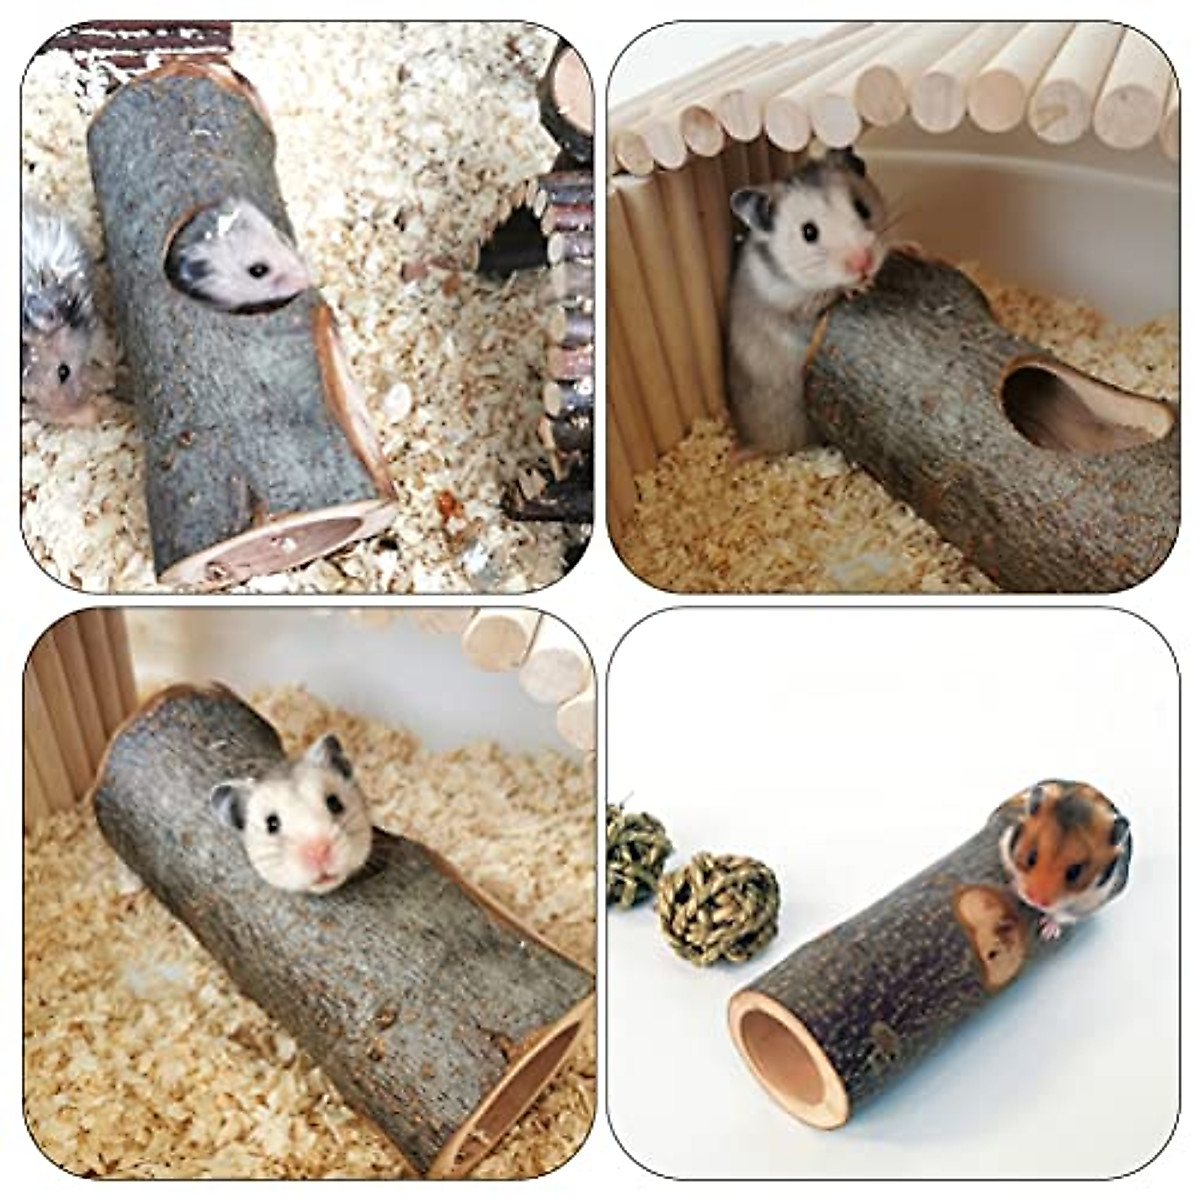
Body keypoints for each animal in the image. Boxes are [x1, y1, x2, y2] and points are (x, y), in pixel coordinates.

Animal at [725, 148, 889, 456]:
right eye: (809, 233)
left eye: (862, 208)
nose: (864, 264)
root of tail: (752, 440)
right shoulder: (795, 315)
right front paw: (859, 287)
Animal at [999, 779, 1132, 941]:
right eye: (1031, 858)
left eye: (1074, 873)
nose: (1035, 901)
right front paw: (1012, 887)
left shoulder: (1093, 901)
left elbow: (1062, 915)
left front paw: (1047, 932)